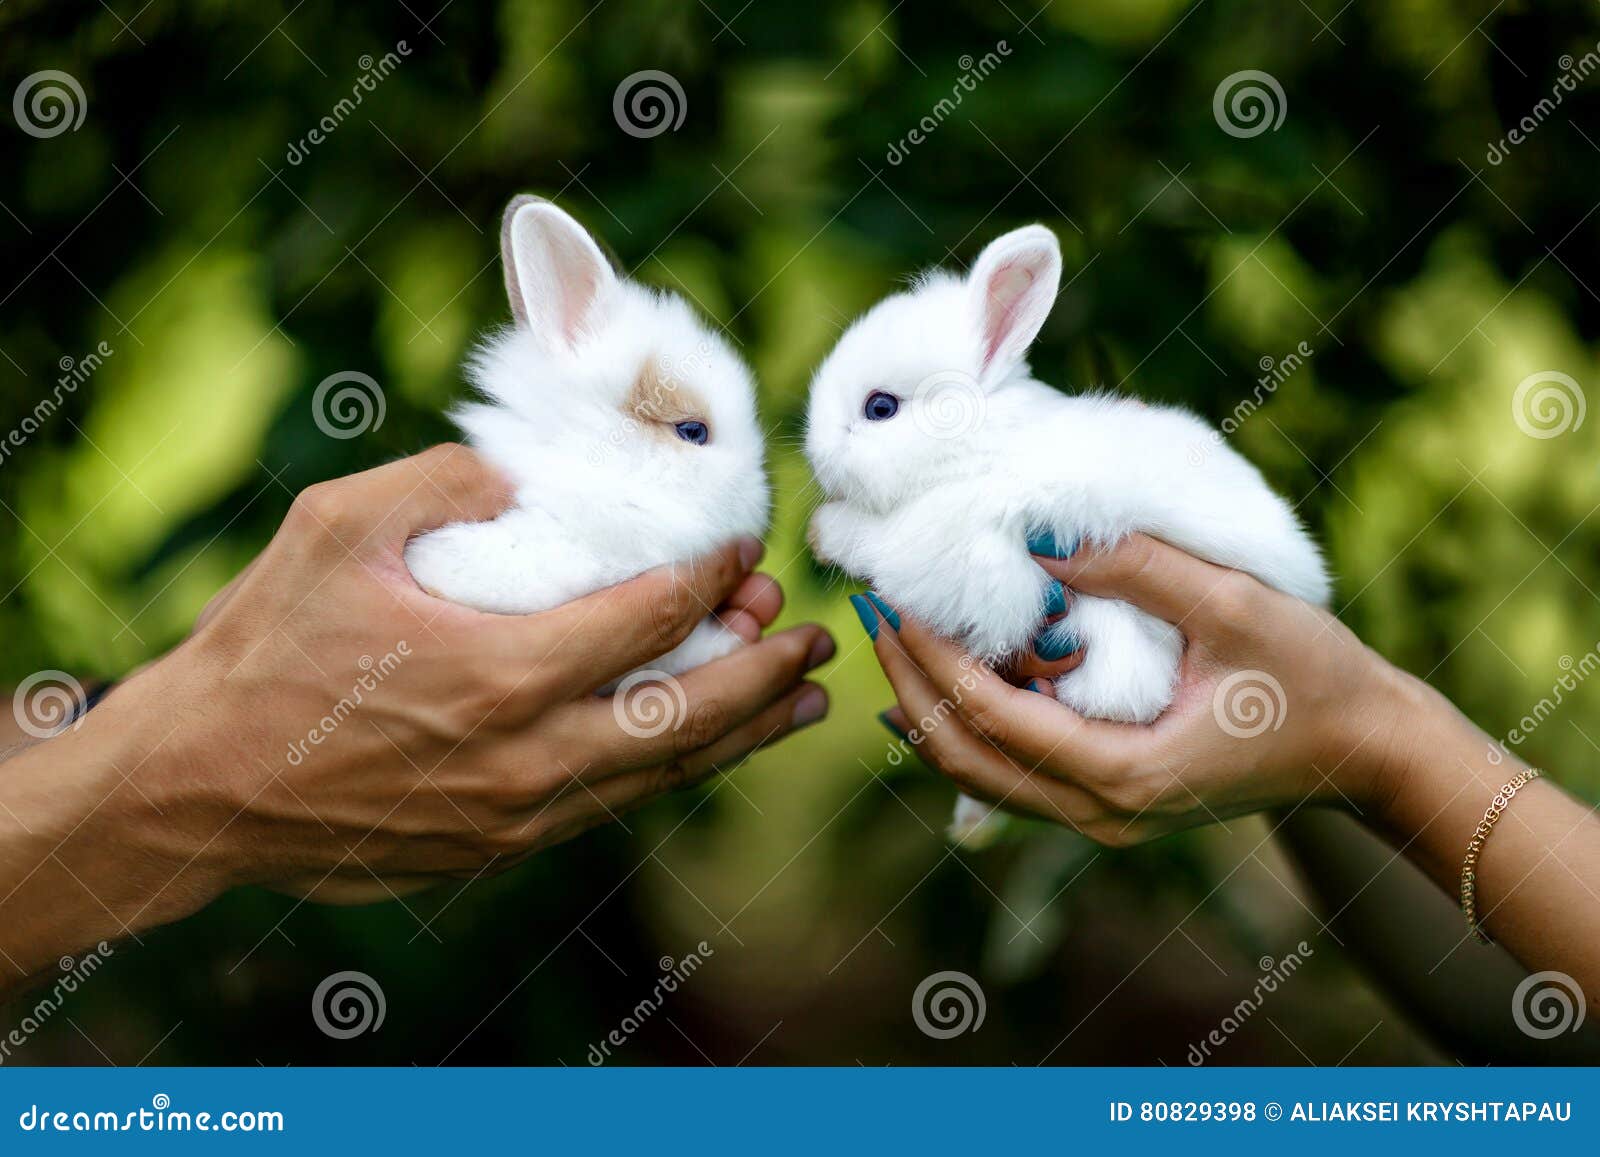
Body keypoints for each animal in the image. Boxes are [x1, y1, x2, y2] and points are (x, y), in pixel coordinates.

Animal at [803, 224, 1330, 842]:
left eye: (880, 407)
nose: (815, 456)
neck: (977, 446)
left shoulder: (963, 552)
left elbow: (878, 542)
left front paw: (822, 531)